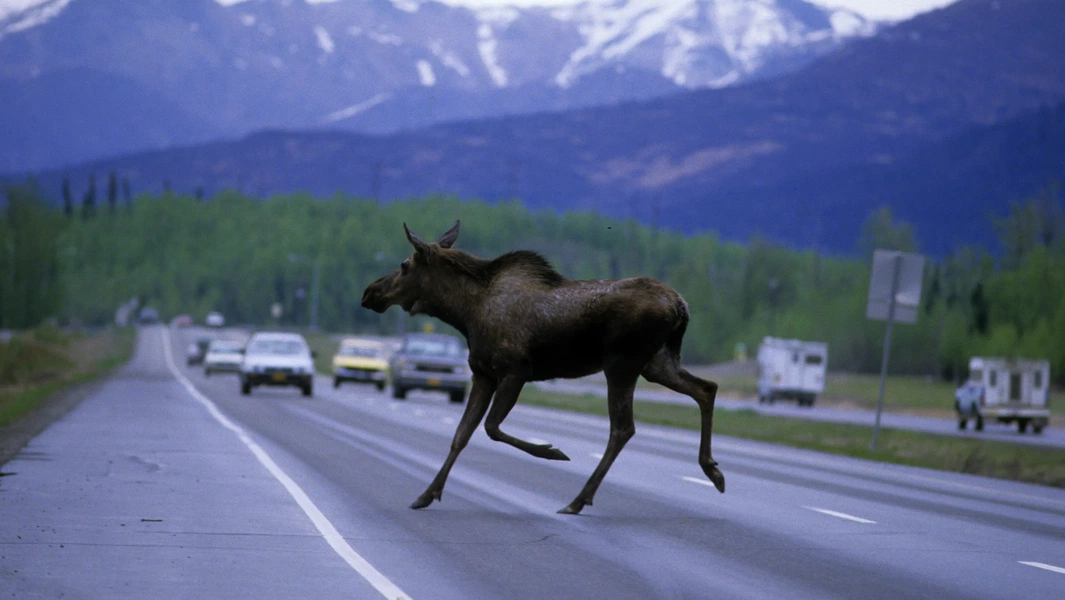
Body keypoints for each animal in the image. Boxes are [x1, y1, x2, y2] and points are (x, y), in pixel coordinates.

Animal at [361, 221, 724, 514]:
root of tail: (681, 307)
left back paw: (578, 500)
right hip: (656, 362)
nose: (369, 292)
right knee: (706, 388)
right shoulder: (483, 374)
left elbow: (490, 428)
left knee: (623, 428)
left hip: (623, 364)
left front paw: (552, 452)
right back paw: (712, 469)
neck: (464, 314)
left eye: (404, 264)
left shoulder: (515, 371)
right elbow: (460, 436)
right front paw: (426, 494)